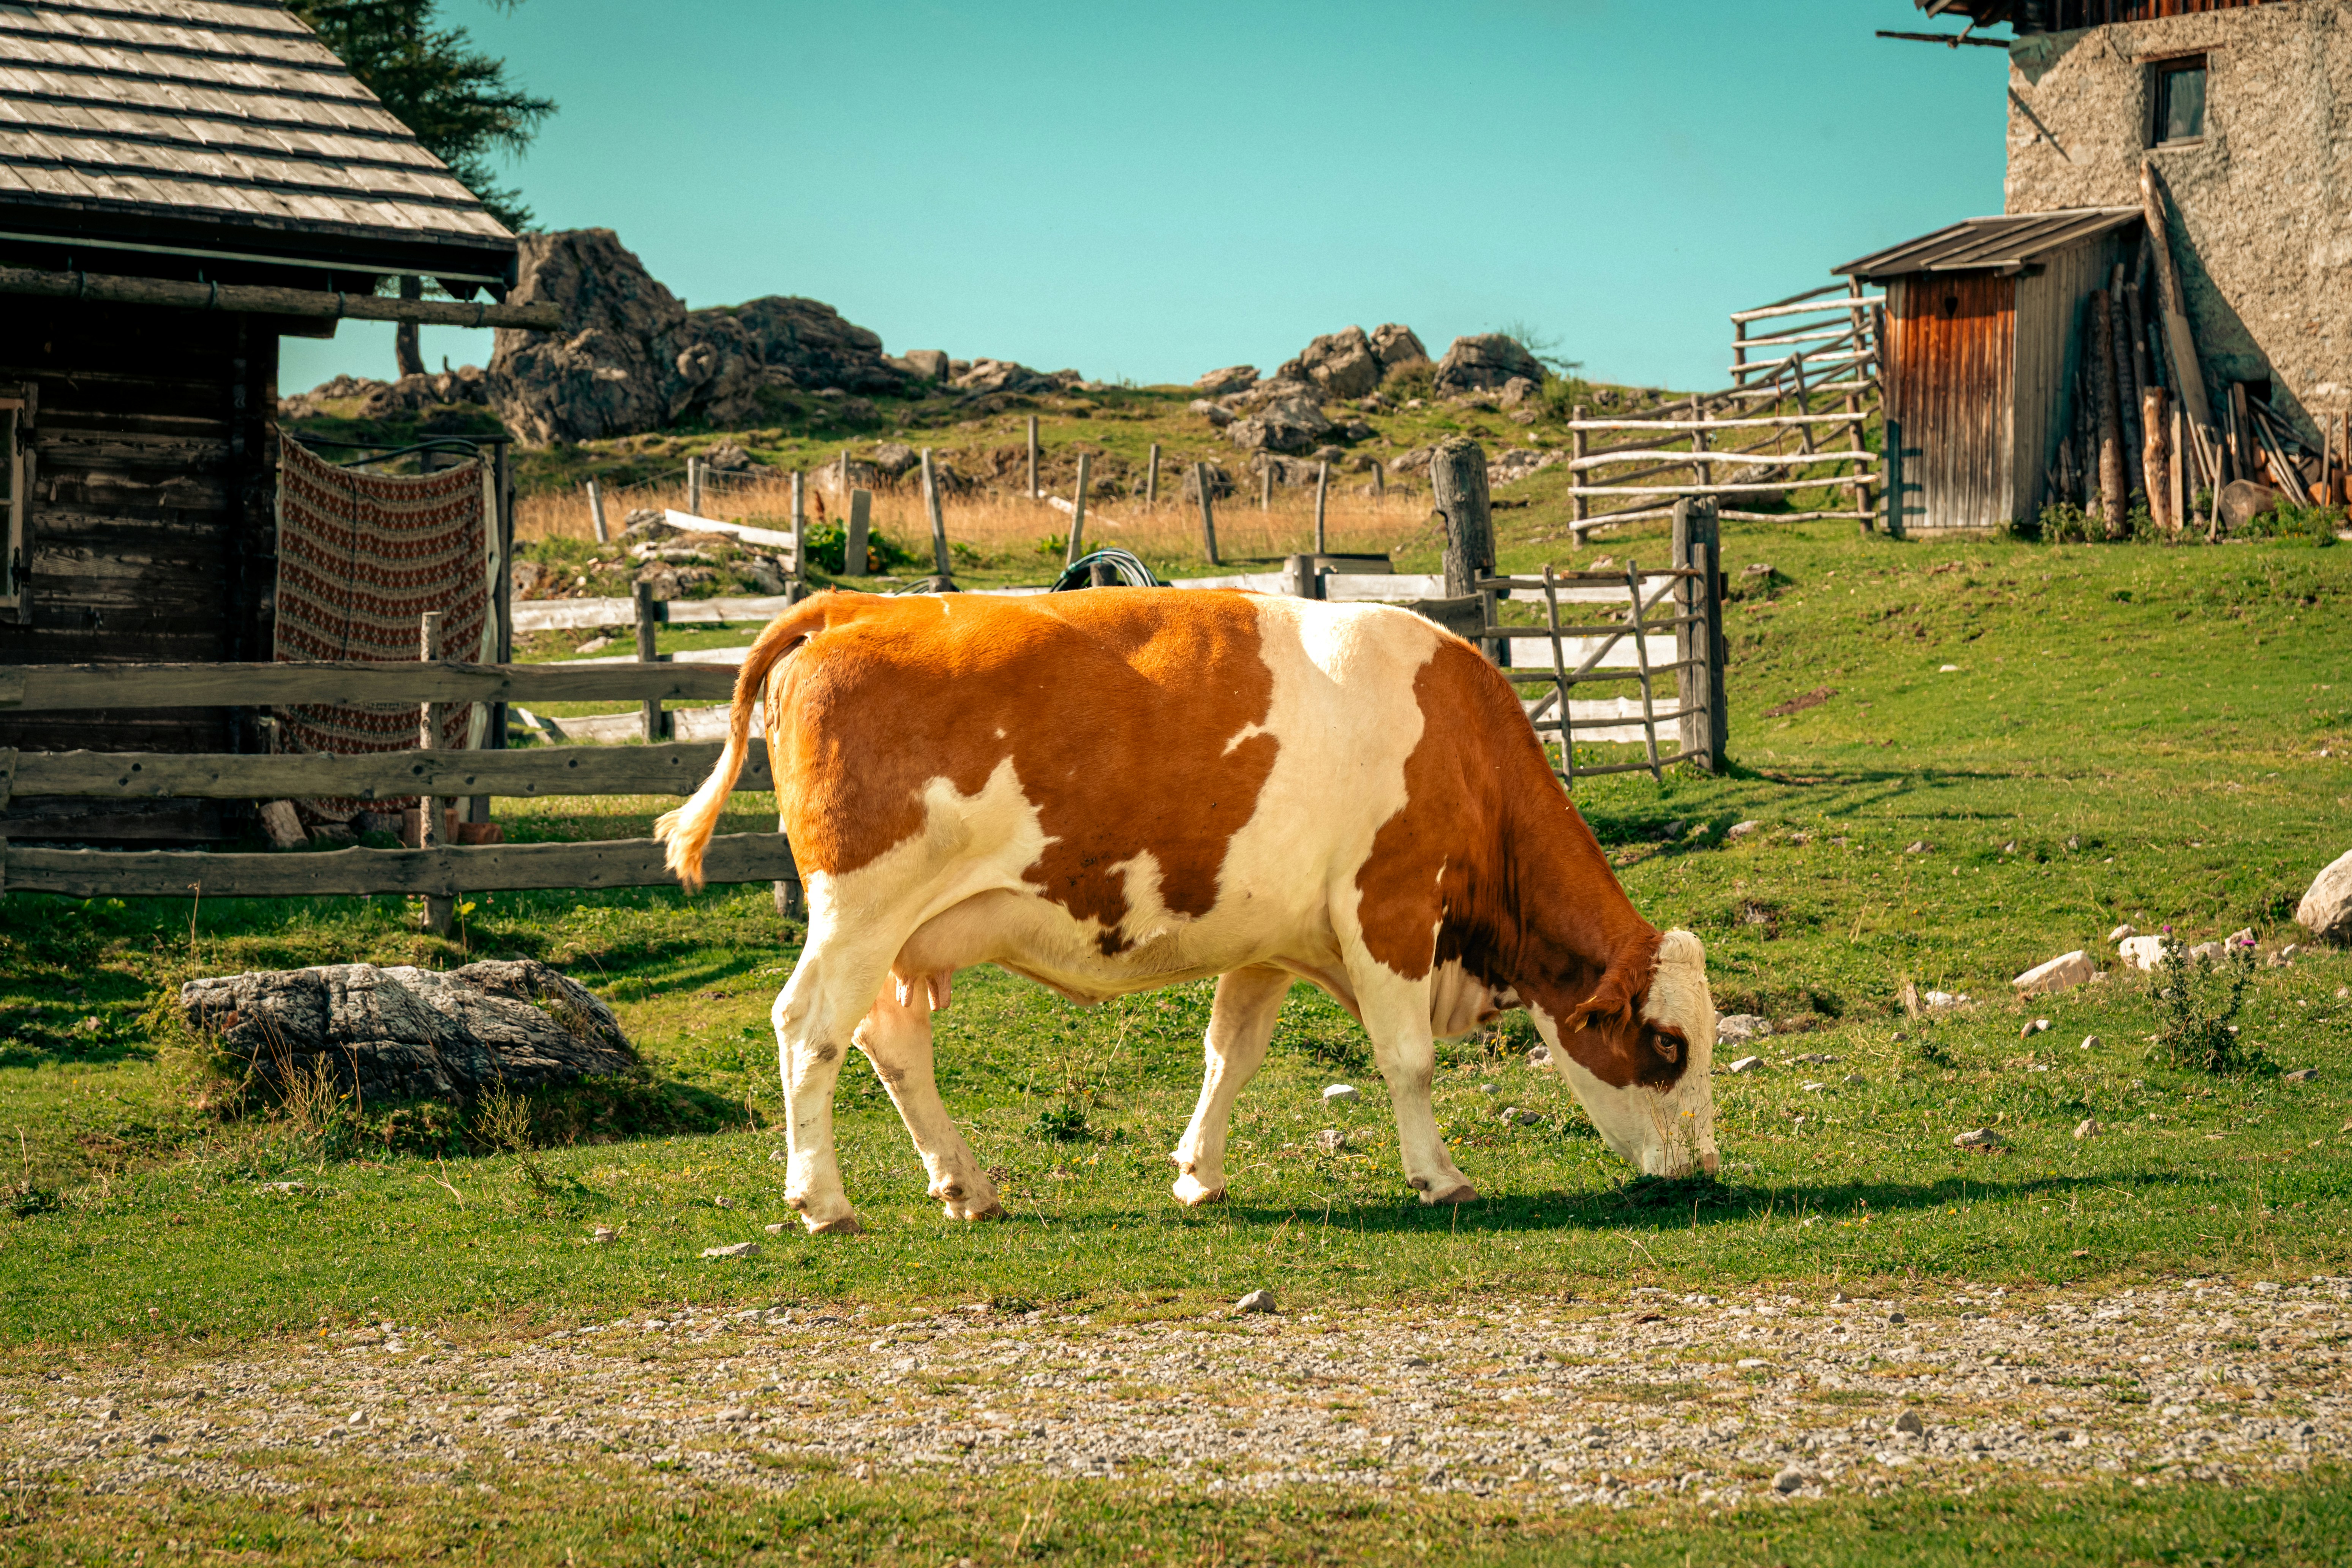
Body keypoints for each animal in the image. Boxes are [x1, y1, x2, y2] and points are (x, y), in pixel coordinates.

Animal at [657, 588, 1718, 1235]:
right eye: (1667, 1044)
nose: (1706, 1168)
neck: (1460, 739)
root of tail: (857, 604)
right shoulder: (1388, 903)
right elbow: (1407, 1057)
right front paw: (1439, 1174)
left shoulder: (1274, 938)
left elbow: (1229, 1054)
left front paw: (1198, 1174)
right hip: (859, 909)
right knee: (809, 1029)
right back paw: (823, 1199)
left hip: (900, 932)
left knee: (888, 1040)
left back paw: (967, 1185)